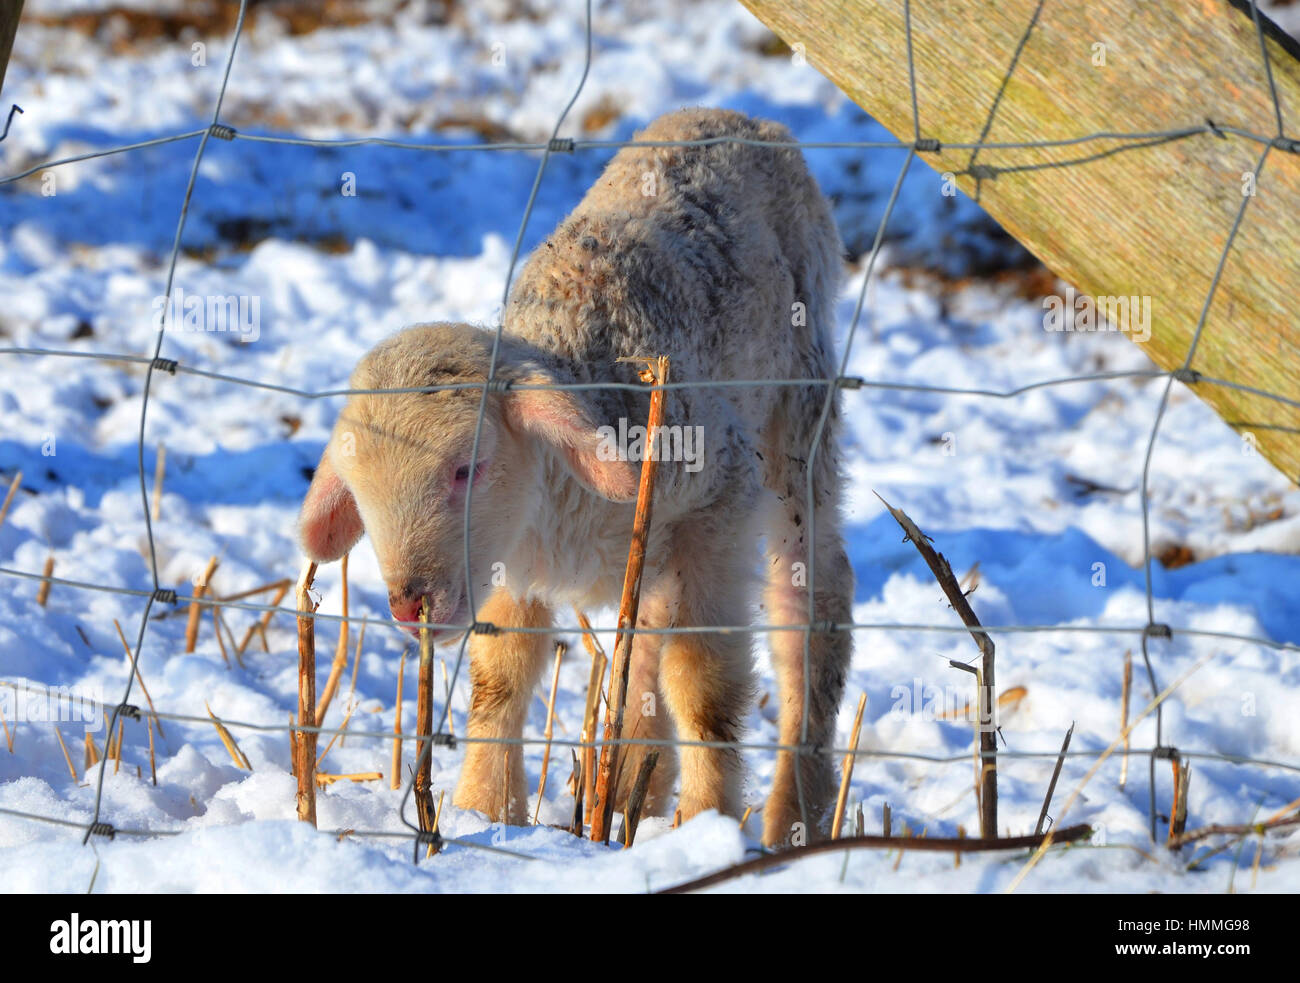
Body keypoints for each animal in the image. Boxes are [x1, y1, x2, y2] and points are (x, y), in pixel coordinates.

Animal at [298, 107, 853, 847]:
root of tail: (738, 117)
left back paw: (795, 810)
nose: (409, 605)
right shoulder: (510, 559)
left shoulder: (717, 500)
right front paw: (483, 811)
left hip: (799, 409)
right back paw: (632, 791)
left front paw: (705, 825)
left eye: (467, 469)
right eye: (359, 494)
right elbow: (500, 680)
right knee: (642, 646)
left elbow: (702, 684)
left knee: (810, 603)